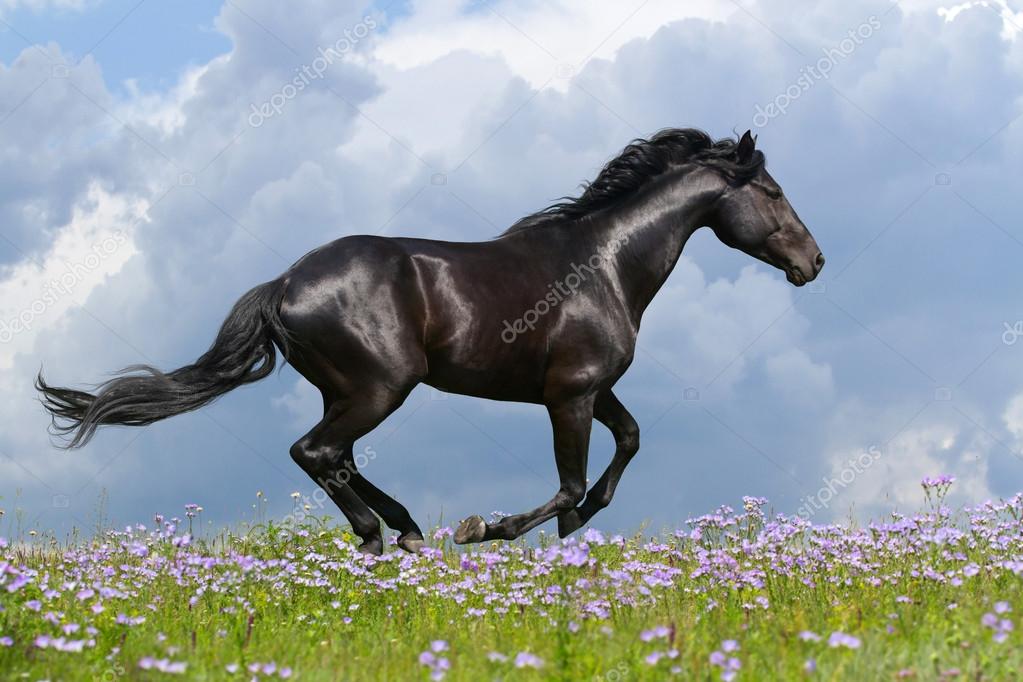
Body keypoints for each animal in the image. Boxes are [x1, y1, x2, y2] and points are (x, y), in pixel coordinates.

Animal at [37, 128, 823, 555]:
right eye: (775, 193)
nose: (813, 262)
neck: (603, 263)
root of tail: (284, 284)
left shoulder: (592, 390)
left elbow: (623, 447)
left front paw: (576, 542)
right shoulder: (569, 394)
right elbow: (569, 483)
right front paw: (488, 528)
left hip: (350, 391)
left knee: (337, 458)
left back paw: (404, 529)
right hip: (381, 387)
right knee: (315, 453)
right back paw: (387, 534)